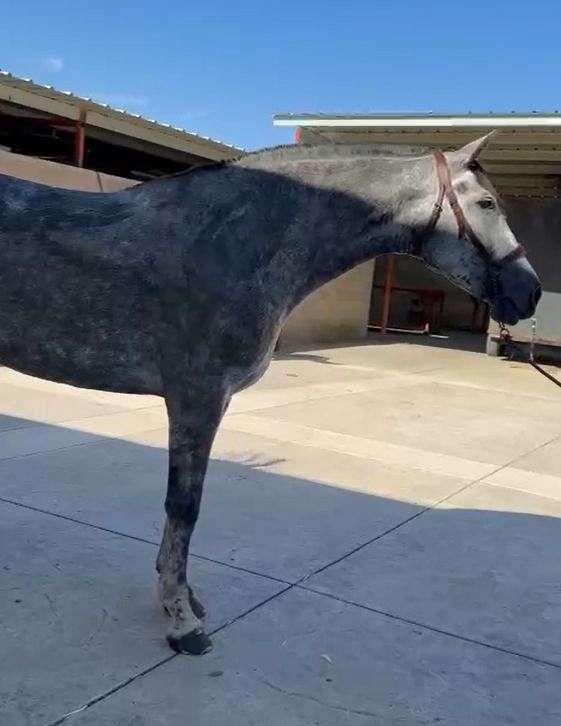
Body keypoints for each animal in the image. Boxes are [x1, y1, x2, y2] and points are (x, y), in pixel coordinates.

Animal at [0, 135, 541, 654]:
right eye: (488, 203)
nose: (532, 293)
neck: (239, 240)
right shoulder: (197, 397)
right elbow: (184, 506)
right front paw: (181, 619)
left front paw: (182, 597)